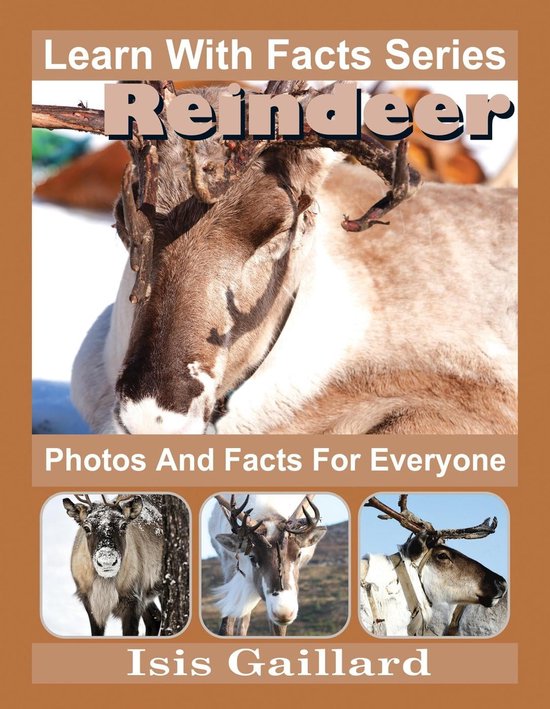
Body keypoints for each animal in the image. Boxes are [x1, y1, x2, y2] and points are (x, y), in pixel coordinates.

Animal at [62, 493, 164, 636]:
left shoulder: (133, 601)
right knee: (155, 618)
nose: (107, 561)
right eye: (86, 527)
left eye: (124, 525)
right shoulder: (90, 603)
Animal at [208, 494, 327, 636]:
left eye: (298, 554)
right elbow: (226, 625)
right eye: (252, 557)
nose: (283, 611)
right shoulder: (230, 568)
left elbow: (278, 631)